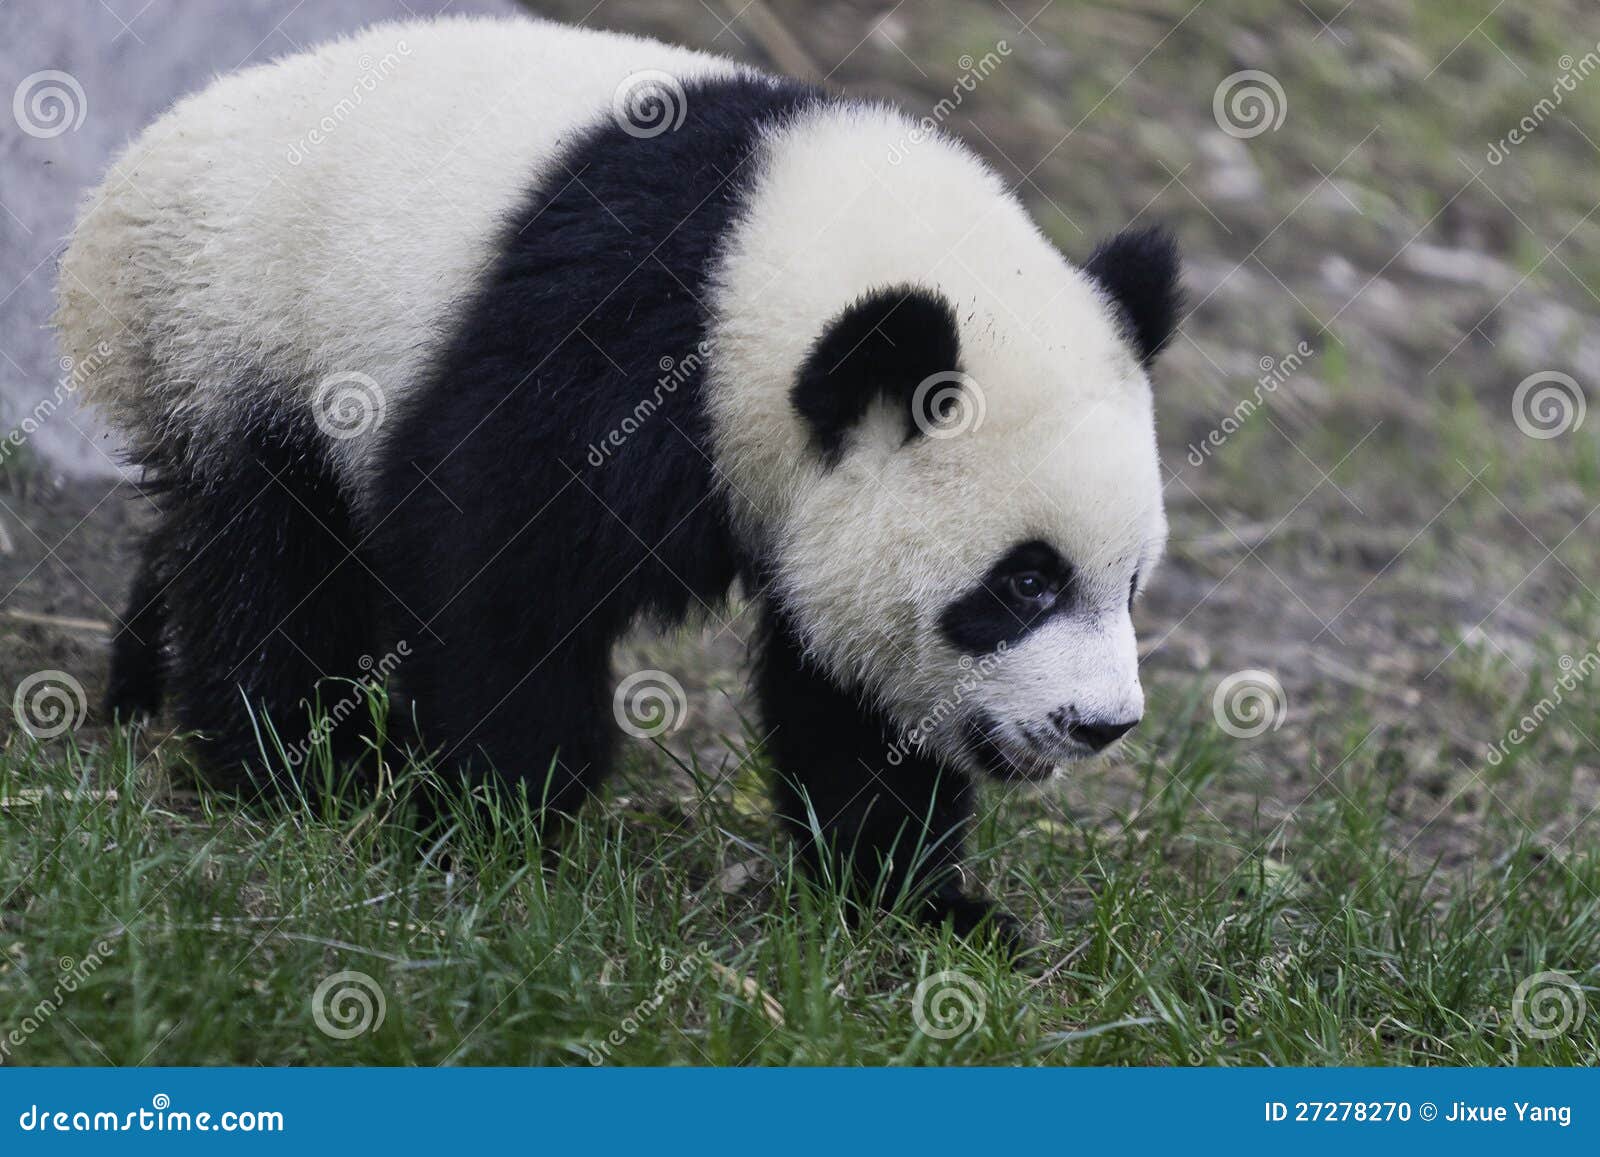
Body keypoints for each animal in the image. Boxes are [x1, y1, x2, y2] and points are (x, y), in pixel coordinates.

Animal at [55, 15, 1179, 947]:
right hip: (248, 328)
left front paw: (920, 898)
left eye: (1128, 584)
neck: (771, 247)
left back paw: (146, 687)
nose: (1099, 724)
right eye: (1023, 582)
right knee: (276, 557)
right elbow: (494, 563)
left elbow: (846, 689)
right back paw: (293, 768)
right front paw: (497, 817)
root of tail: (118, 195)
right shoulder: (621, 339)